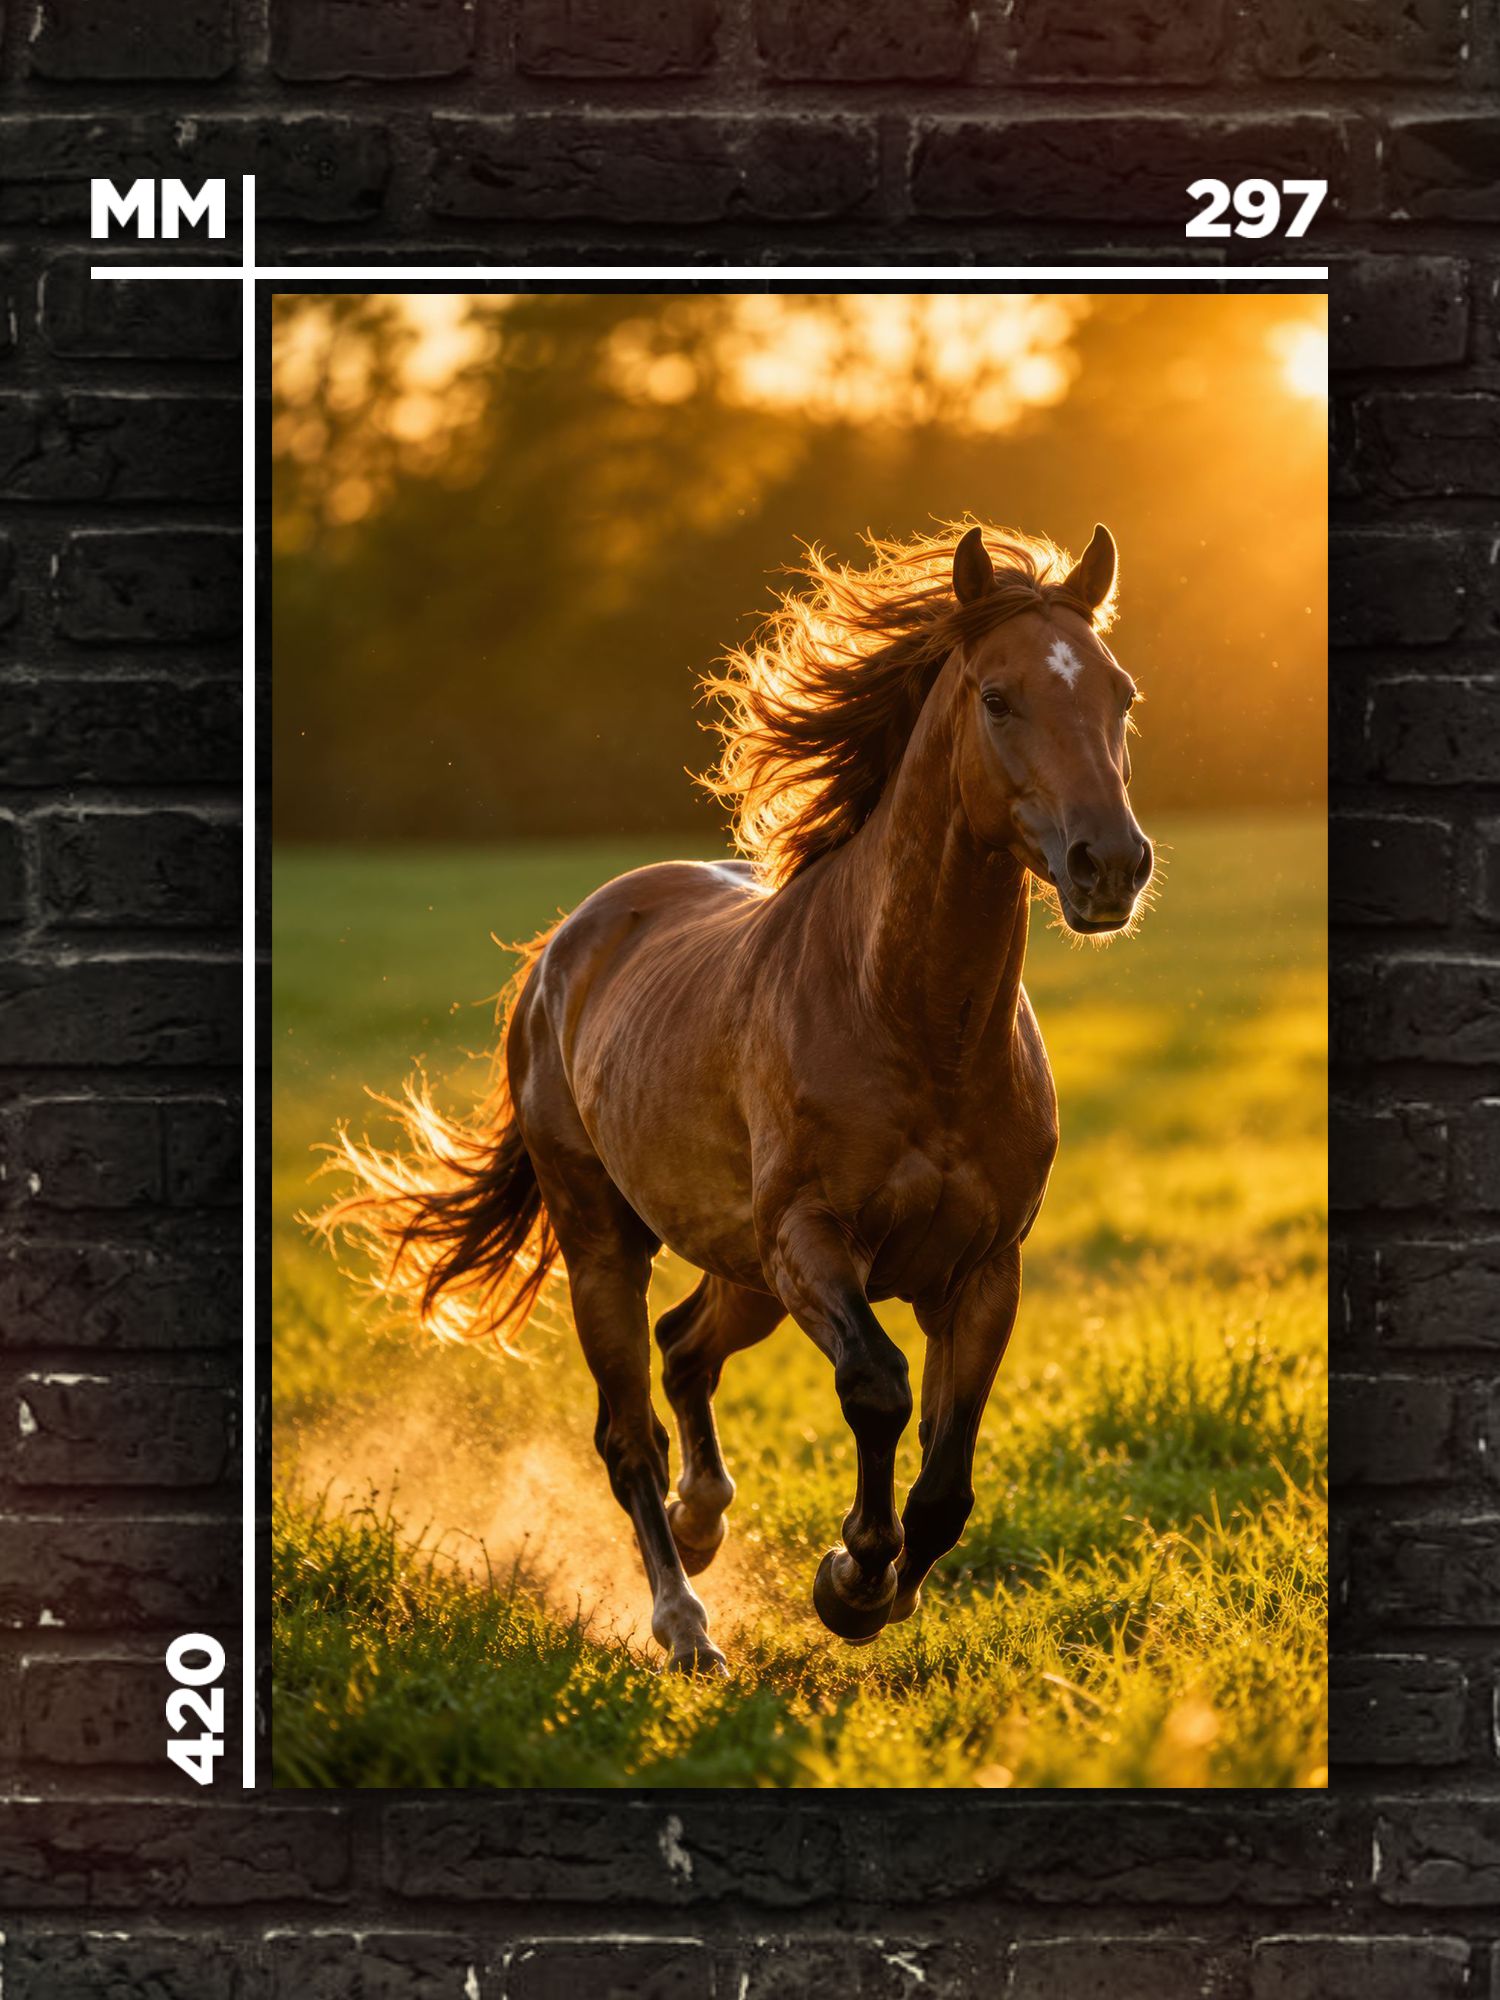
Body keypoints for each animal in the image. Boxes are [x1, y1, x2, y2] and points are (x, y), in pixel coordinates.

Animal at [322, 521, 1154, 1675]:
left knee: (685, 1348)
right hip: (610, 1244)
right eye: (998, 695)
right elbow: (879, 1385)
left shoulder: (987, 1268)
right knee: (627, 1426)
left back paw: (703, 1520)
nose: (1109, 865)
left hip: (744, 1269)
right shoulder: (812, 1241)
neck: (913, 1023)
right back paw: (685, 1624)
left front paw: (880, 1587)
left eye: (1120, 692)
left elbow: (947, 1480)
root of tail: (564, 947)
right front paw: (852, 1576)